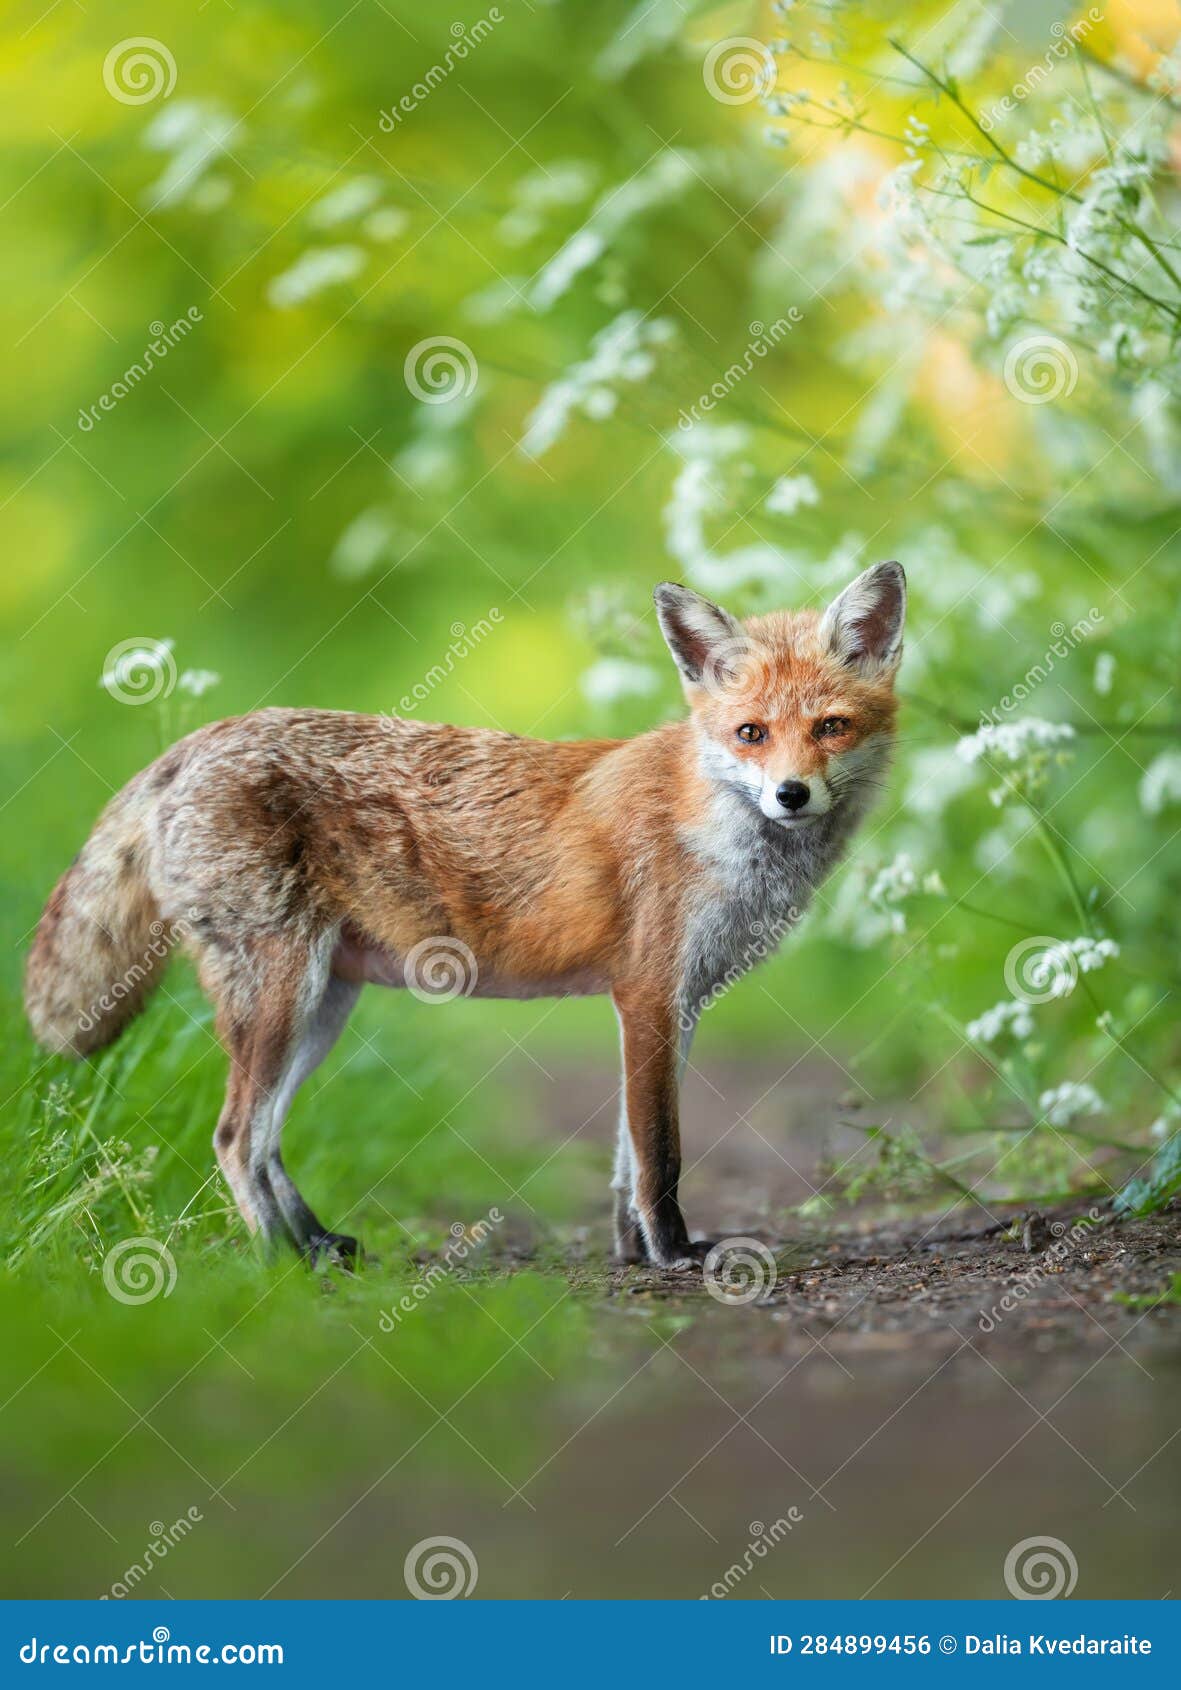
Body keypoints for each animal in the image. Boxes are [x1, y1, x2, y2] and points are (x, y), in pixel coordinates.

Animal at [25, 560, 905, 1270]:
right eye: (750, 733)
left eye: (829, 727)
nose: (791, 794)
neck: (713, 824)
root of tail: (199, 740)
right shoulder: (648, 994)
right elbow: (659, 1153)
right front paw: (671, 1253)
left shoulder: (676, 1005)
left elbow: (627, 1158)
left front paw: (630, 1251)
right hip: (280, 996)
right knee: (235, 1137)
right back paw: (278, 1267)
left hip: (322, 1005)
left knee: (265, 1140)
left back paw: (314, 1244)